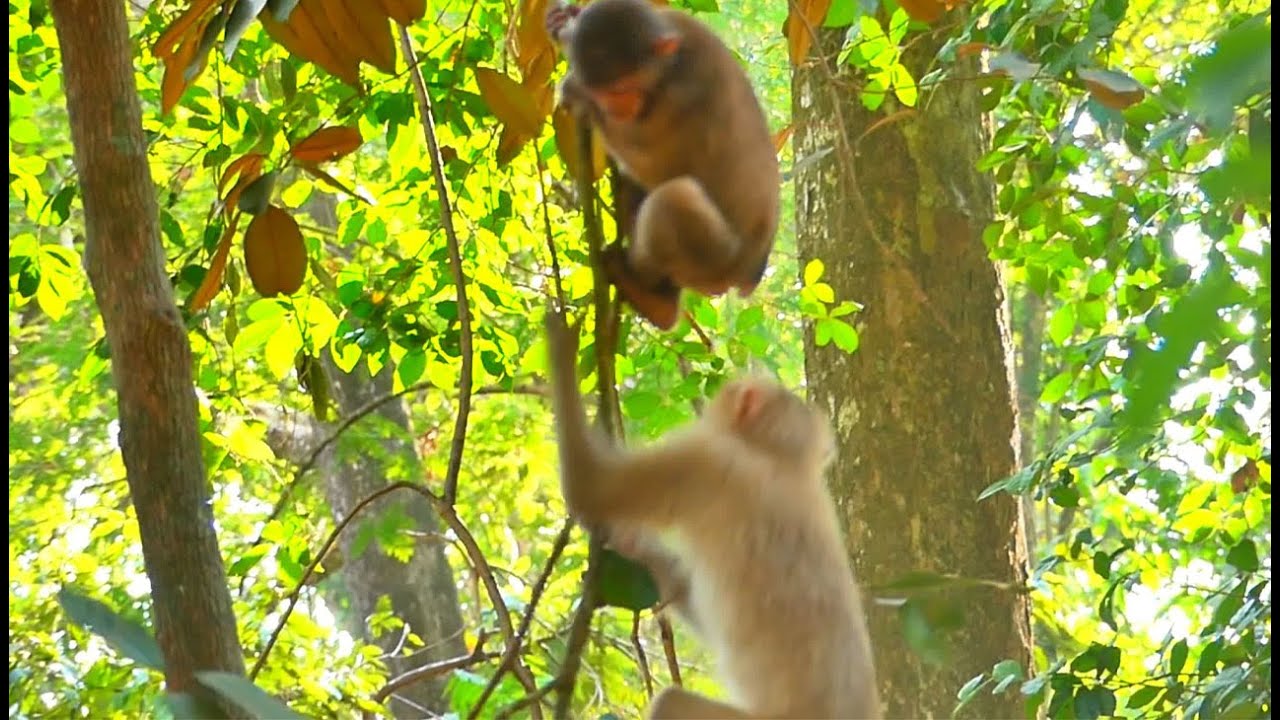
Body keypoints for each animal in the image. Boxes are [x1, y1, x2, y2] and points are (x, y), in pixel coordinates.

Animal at [543, 308, 881, 719]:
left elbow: (590, 489)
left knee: (670, 703)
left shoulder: (707, 463)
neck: (783, 461)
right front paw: (633, 545)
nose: (727, 393)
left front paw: (562, 347)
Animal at [545, 0, 781, 331]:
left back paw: (650, 298)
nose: (616, 108)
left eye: (622, 89)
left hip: (716, 264)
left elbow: (661, 166)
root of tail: (748, 277)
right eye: (605, 92)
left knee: (672, 197)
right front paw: (562, 25)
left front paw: (577, 94)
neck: (671, 61)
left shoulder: (683, 91)